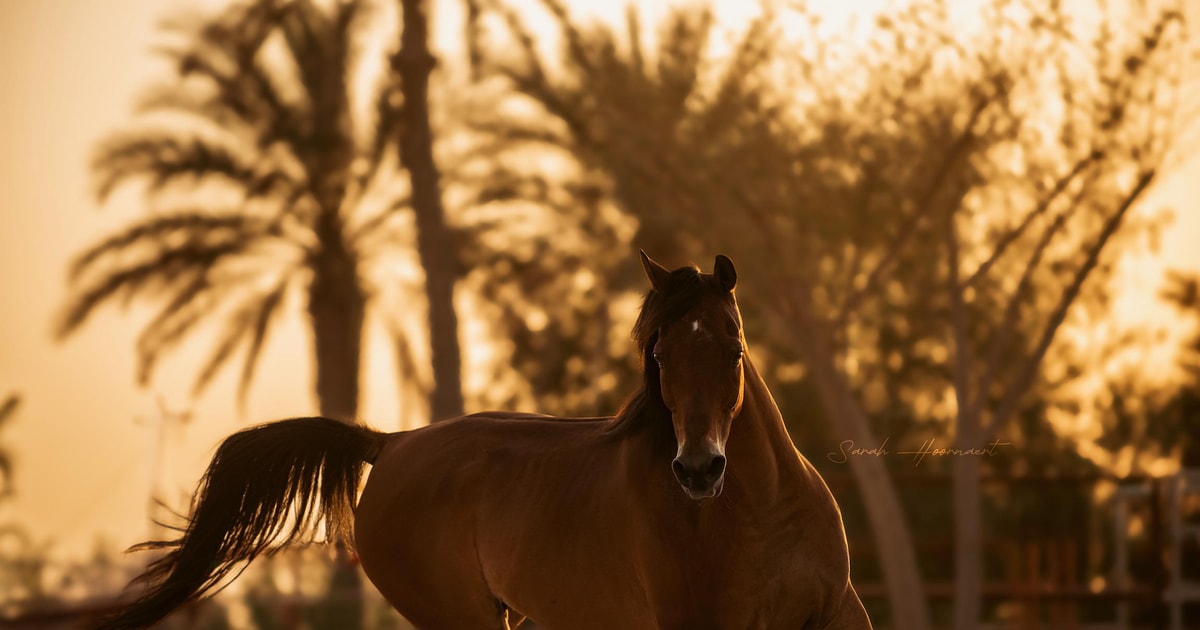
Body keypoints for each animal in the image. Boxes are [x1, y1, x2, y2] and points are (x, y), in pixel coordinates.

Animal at [97, 252, 871, 630]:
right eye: (660, 357)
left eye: (733, 350)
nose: (700, 470)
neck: (758, 517)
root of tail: (392, 443)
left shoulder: (838, 616)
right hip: (460, 619)